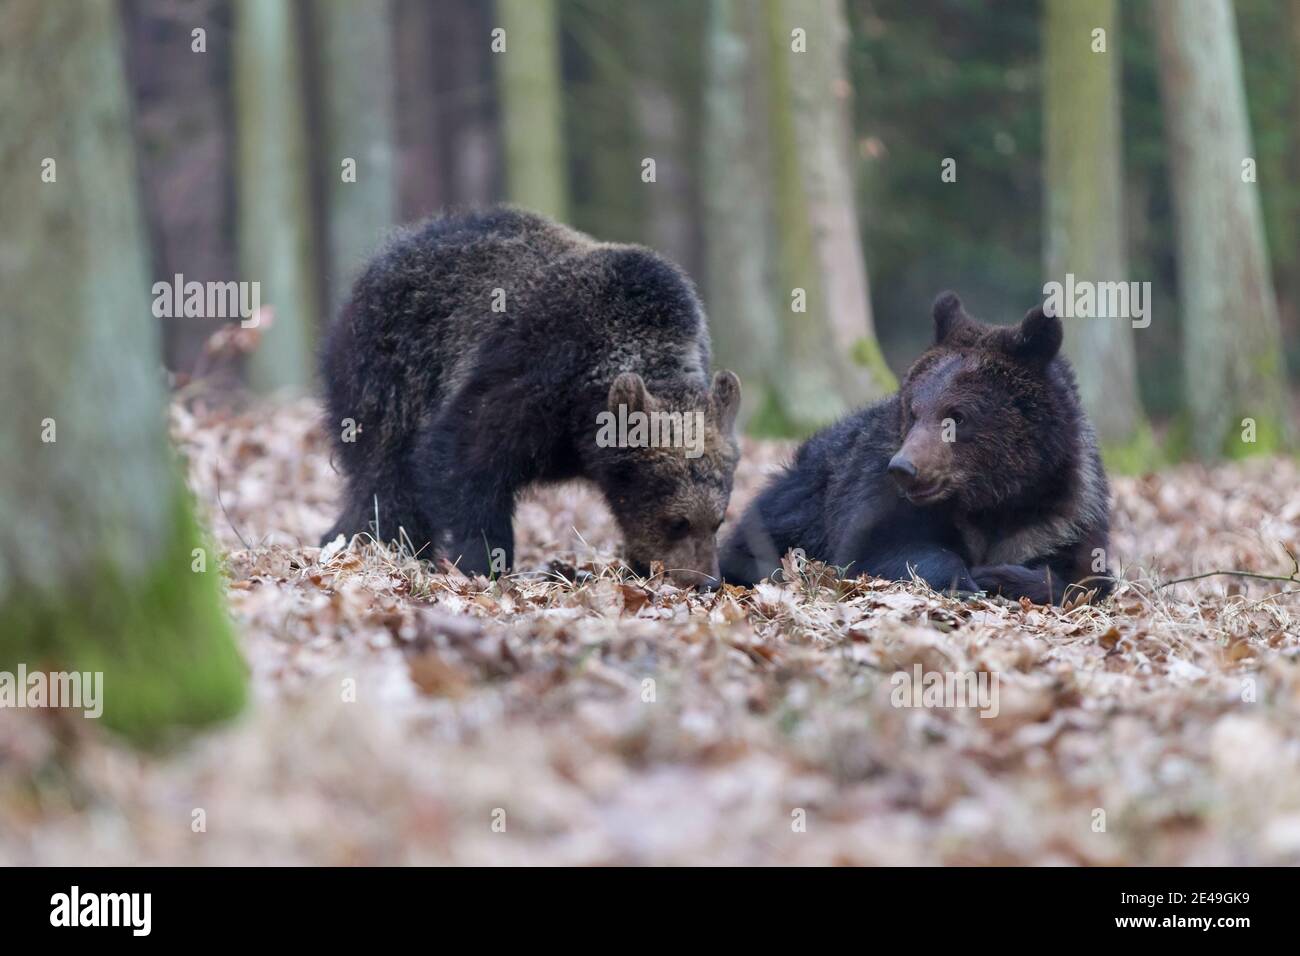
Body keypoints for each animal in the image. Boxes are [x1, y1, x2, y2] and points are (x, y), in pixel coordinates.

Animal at [321, 206, 741, 590]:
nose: (708, 582)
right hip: (388, 377)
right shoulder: (529, 376)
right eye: (678, 522)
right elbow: (463, 459)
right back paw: (368, 541)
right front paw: (481, 563)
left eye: (718, 519)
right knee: (384, 478)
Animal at [719, 292, 1112, 605]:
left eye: (957, 416)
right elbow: (880, 548)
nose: (904, 468)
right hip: (807, 497)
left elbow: (1084, 578)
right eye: (913, 409)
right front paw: (967, 581)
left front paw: (1002, 576)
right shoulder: (878, 495)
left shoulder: (1060, 520)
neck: (993, 500)